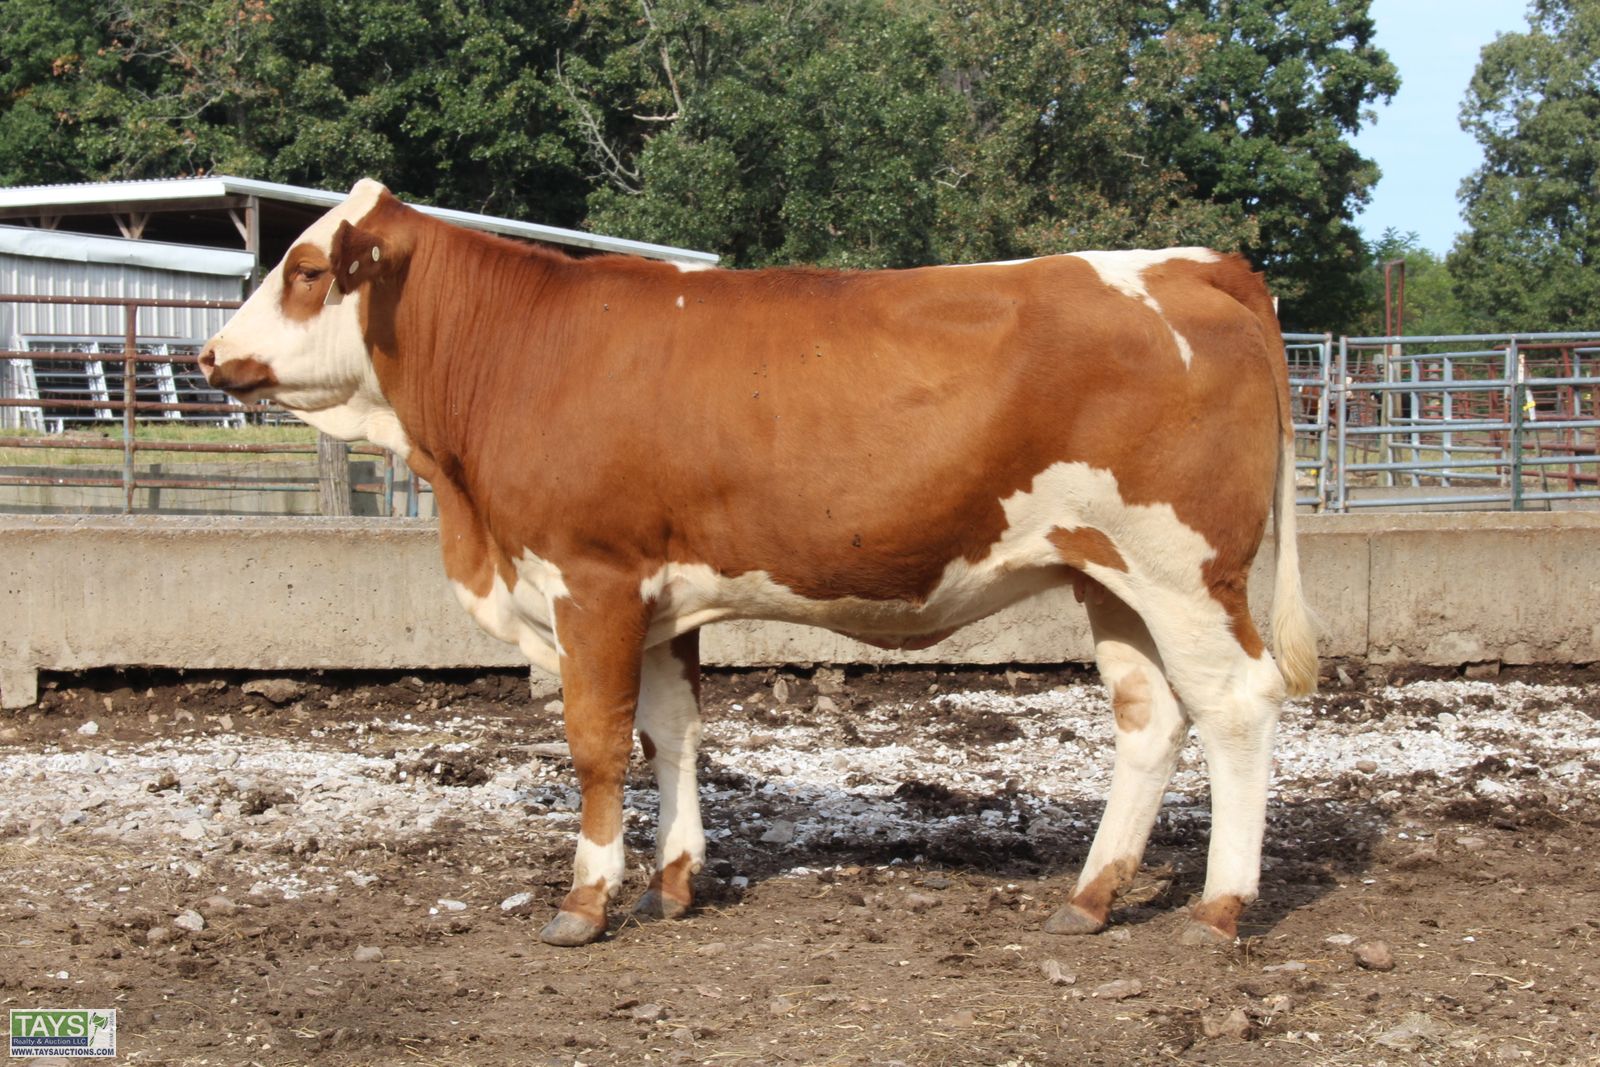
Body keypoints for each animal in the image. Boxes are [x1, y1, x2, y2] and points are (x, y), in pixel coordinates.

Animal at [200, 179, 1317, 948]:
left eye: (305, 268)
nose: (210, 354)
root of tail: (1200, 263)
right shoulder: (660, 596)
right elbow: (673, 734)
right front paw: (676, 880)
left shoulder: (590, 580)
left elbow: (596, 744)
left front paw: (586, 899)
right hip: (1110, 575)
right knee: (1151, 715)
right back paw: (1089, 897)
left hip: (1184, 569)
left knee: (1236, 704)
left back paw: (1218, 906)